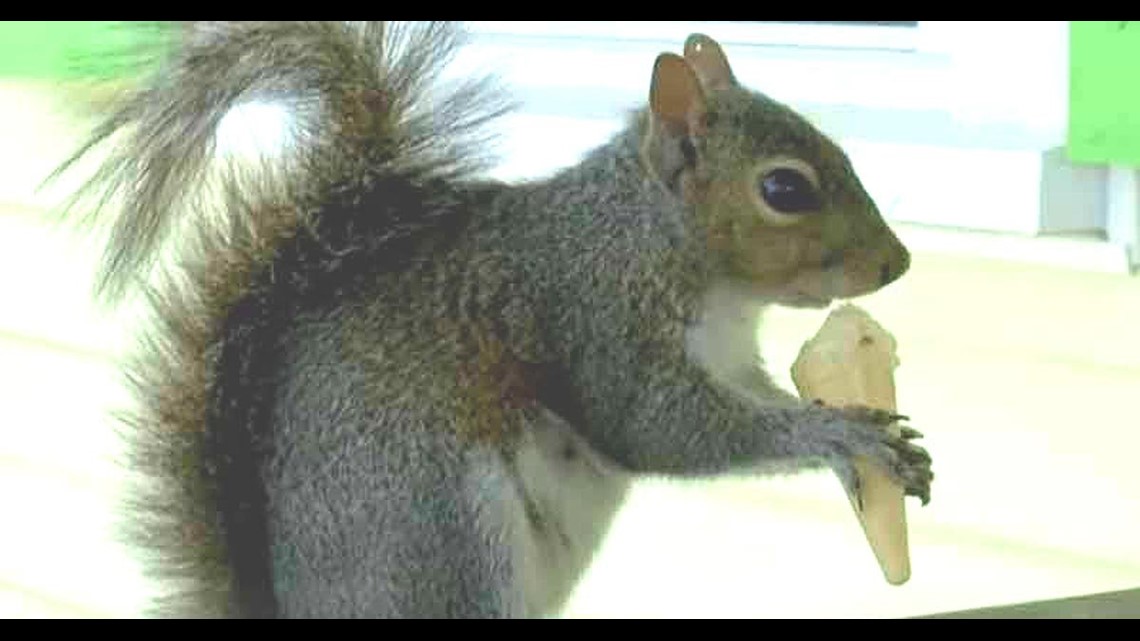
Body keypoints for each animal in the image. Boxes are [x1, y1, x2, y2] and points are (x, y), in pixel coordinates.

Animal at [49, 21, 933, 618]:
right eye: (784, 188)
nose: (897, 264)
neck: (655, 236)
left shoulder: (728, 358)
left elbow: (755, 400)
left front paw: (872, 443)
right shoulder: (593, 313)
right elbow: (660, 427)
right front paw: (837, 435)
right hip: (444, 537)